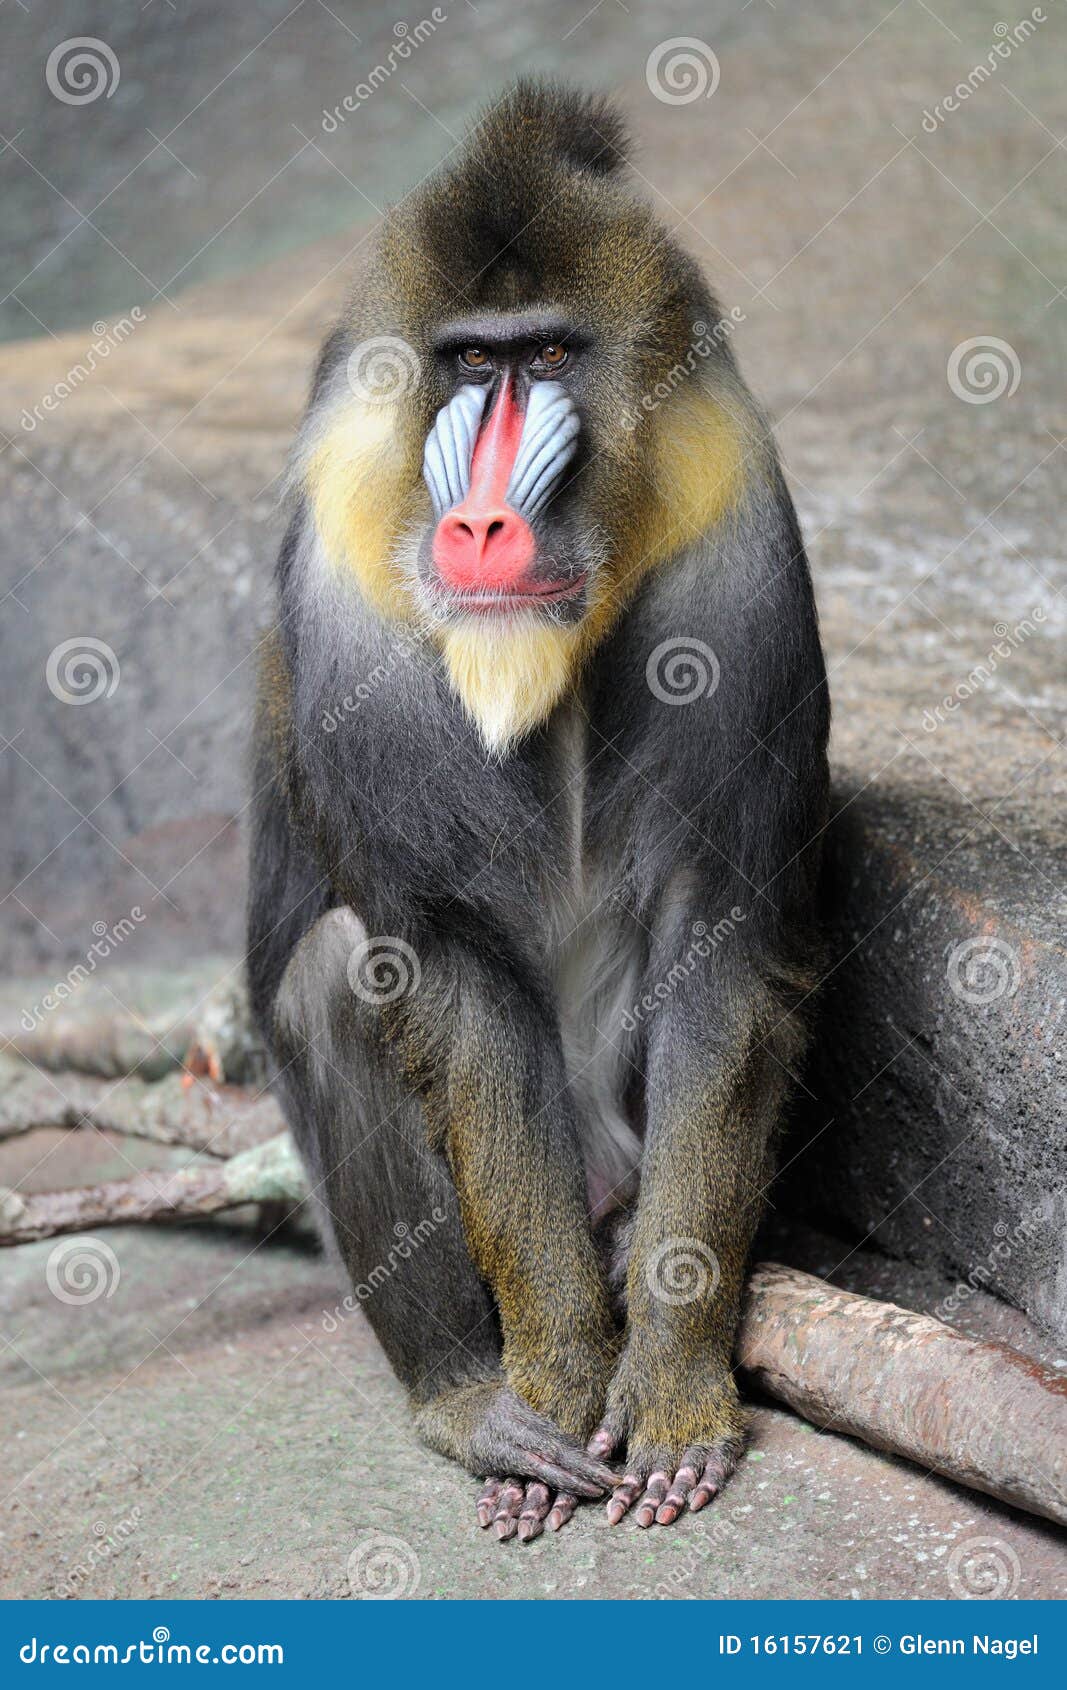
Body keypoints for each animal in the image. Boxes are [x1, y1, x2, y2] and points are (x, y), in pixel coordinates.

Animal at [246, 80, 830, 1543]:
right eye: (467, 365)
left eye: (550, 354)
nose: (481, 528)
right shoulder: (354, 575)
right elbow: (440, 962)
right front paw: (553, 1386)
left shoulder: (725, 522)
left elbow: (719, 944)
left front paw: (670, 1388)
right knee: (333, 974)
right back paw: (470, 1397)